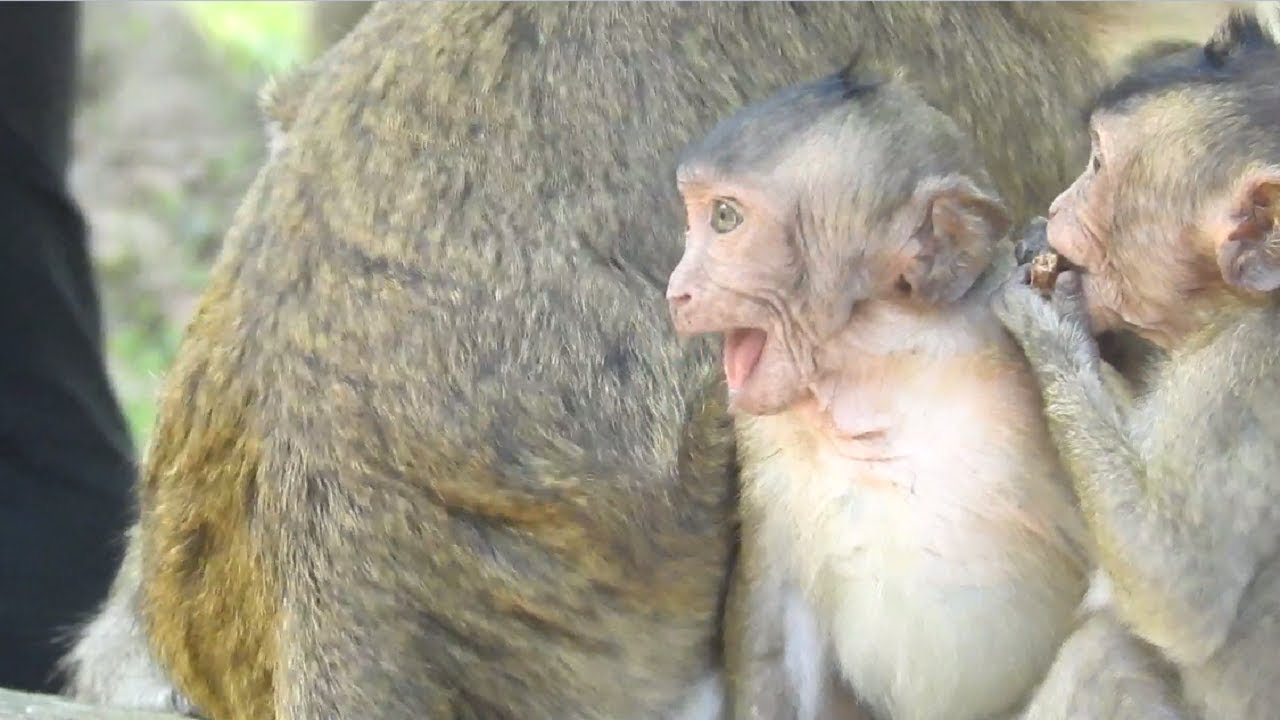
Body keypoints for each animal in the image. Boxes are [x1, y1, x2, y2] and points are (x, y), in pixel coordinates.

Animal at [995, 11, 1280, 720]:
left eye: (1097, 163)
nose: (1059, 204)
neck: (1233, 307)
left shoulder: (1243, 375)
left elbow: (1175, 585)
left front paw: (1048, 322)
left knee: (1107, 652)